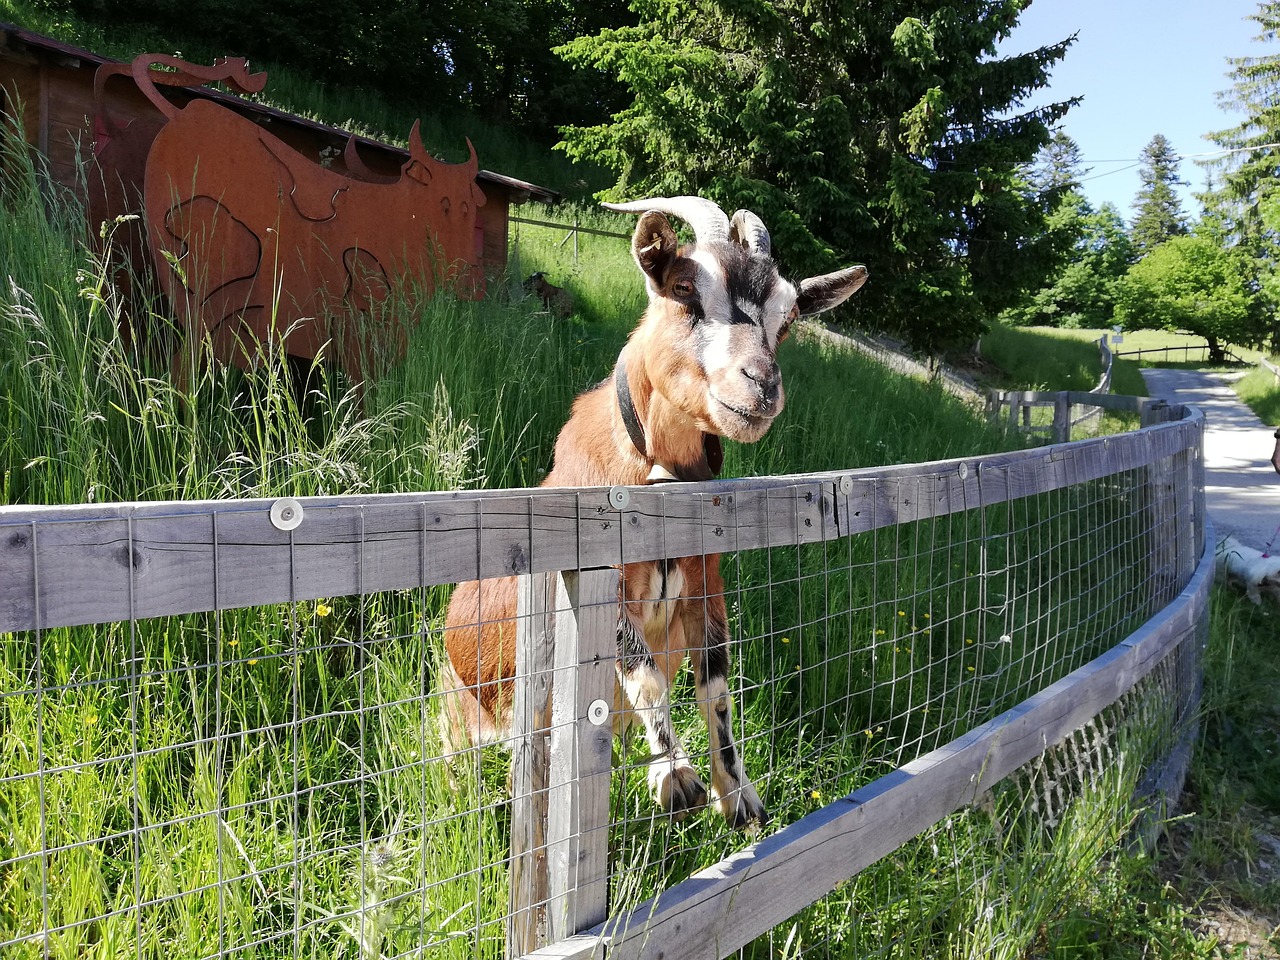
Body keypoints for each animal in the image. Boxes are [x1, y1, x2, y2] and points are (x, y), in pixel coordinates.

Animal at [443, 196, 867, 828]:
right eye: (684, 285)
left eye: (788, 317)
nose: (761, 386)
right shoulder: (598, 578)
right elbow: (643, 674)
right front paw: (676, 775)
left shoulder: (705, 580)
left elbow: (715, 685)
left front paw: (736, 794)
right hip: (465, 710)